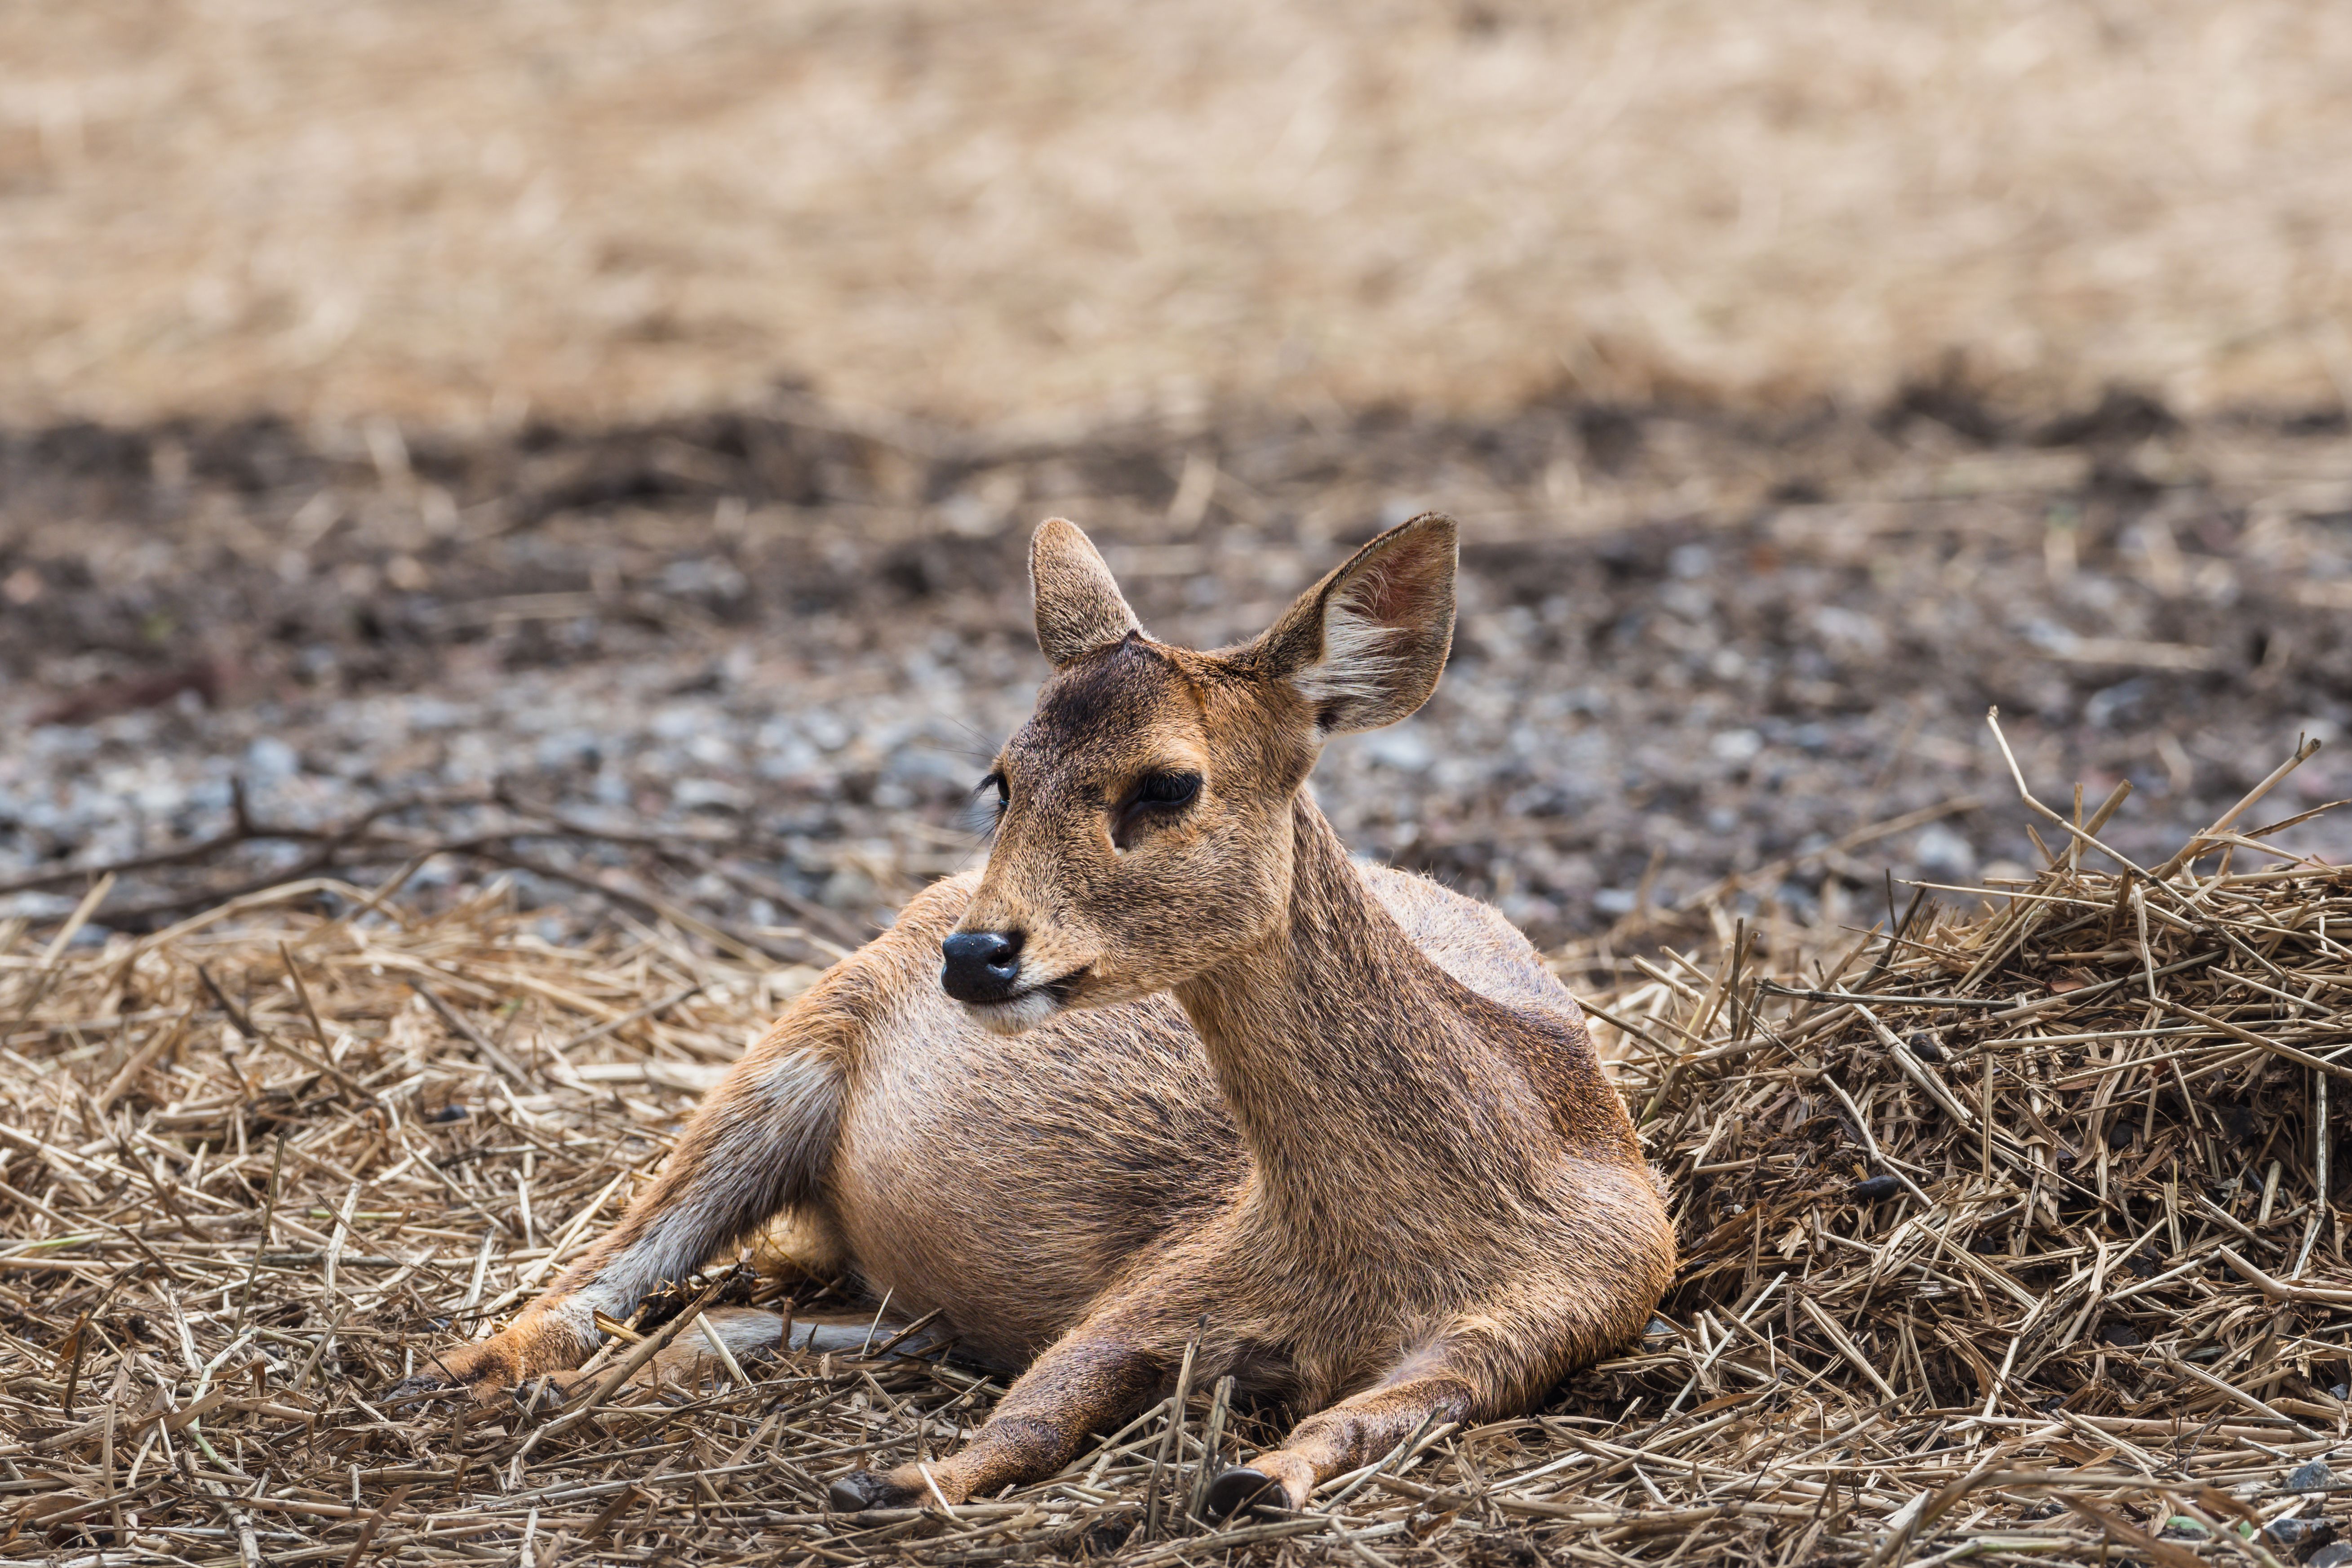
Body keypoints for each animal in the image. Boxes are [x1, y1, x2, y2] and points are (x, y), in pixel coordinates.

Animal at [393, 511, 1676, 1517]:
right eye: (999, 777)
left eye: (1168, 782)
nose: (976, 951)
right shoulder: (1165, 1272)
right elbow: (1037, 1411)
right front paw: (895, 1480)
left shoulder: (1559, 1314)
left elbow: (1369, 1417)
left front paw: (1255, 1479)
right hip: (793, 1044)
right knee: (620, 1263)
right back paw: (466, 1370)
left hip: (913, 1288)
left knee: (738, 1314)